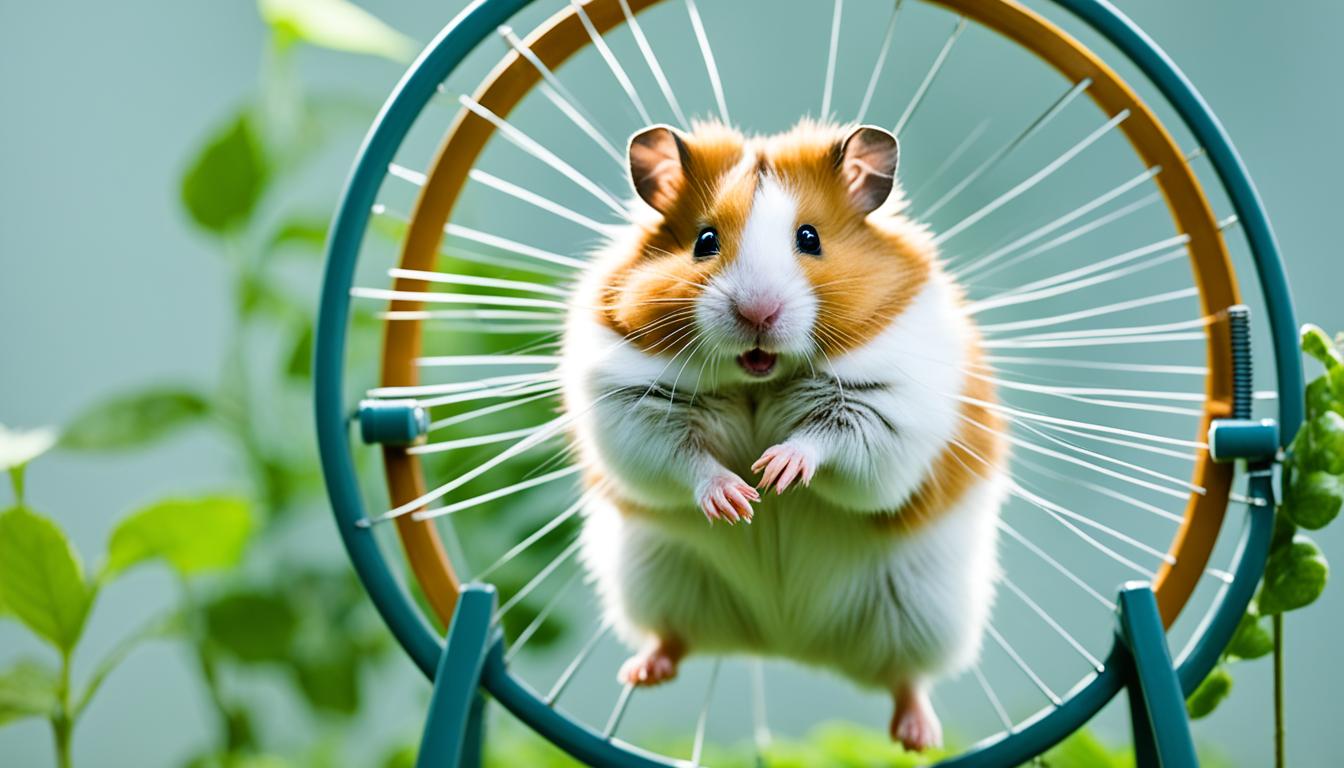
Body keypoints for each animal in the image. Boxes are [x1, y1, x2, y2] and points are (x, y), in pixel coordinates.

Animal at [560, 119, 1007, 751]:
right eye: (704, 241)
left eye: (810, 238)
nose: (758, 314)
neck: (758, 379)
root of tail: (783, 643)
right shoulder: (634, 409)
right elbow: (684, 459)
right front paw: (738, 501)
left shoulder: (887, 408)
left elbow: (828, 439)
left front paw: (775, 471)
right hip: (655, 581)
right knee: (674, 637)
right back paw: (642, 671)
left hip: (925, 616)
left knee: (907, 678)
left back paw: (918, 737)